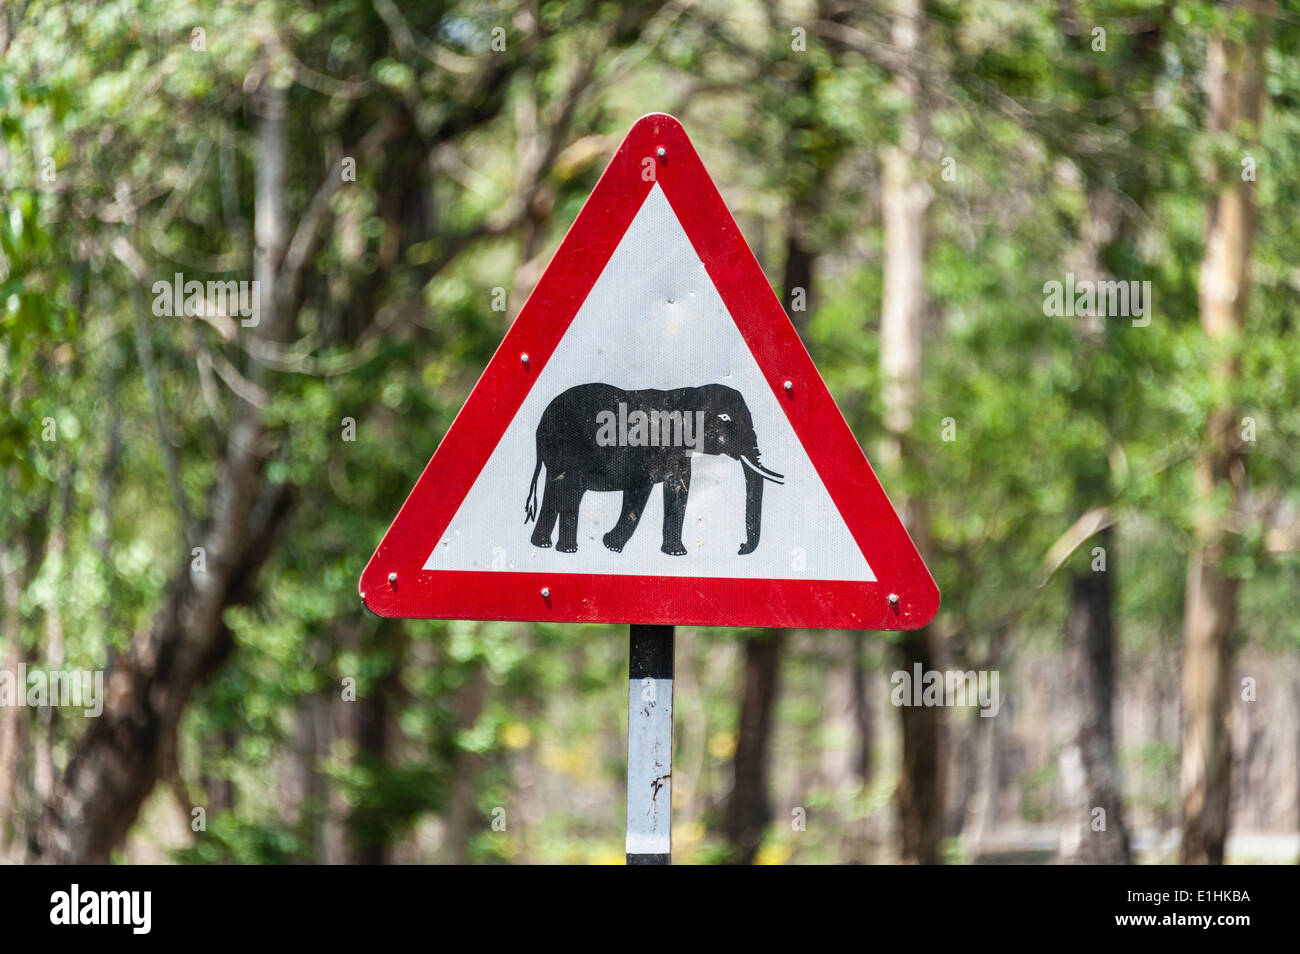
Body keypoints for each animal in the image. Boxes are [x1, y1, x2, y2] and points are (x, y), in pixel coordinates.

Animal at [524, 382, 784, 556]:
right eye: (725, 418)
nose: (739, 548)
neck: (687, 394)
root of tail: (539, 425)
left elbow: (678, 491)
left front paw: (676, 553)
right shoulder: (643, 452)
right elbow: (640, 490)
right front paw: (611, 546)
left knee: (558, 492)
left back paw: (545, 545)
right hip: (567, 450)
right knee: (568, 492)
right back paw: (565, 549)